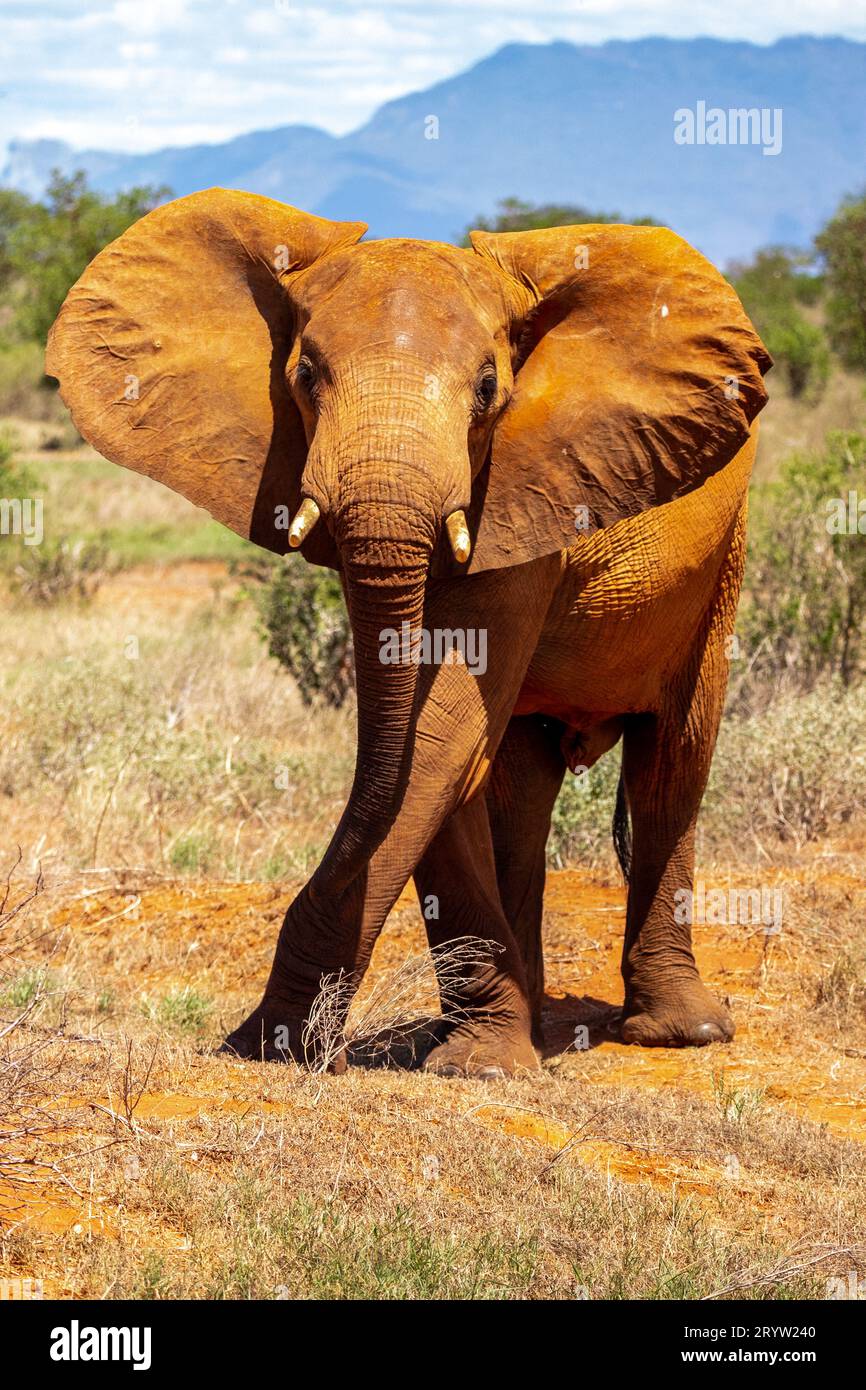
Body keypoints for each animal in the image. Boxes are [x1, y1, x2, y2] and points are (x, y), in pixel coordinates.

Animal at [46, 188, 771, 1078]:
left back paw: (679, 1031)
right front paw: (467, 1055)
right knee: (519, 786)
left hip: (722, 562)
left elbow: (437, 735)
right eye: (304, 377)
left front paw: (302, 1045)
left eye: (489, 388)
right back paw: (536, 1022)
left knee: (673, 760)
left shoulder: (521, 490)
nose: (253, 1037)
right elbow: (433, 757)